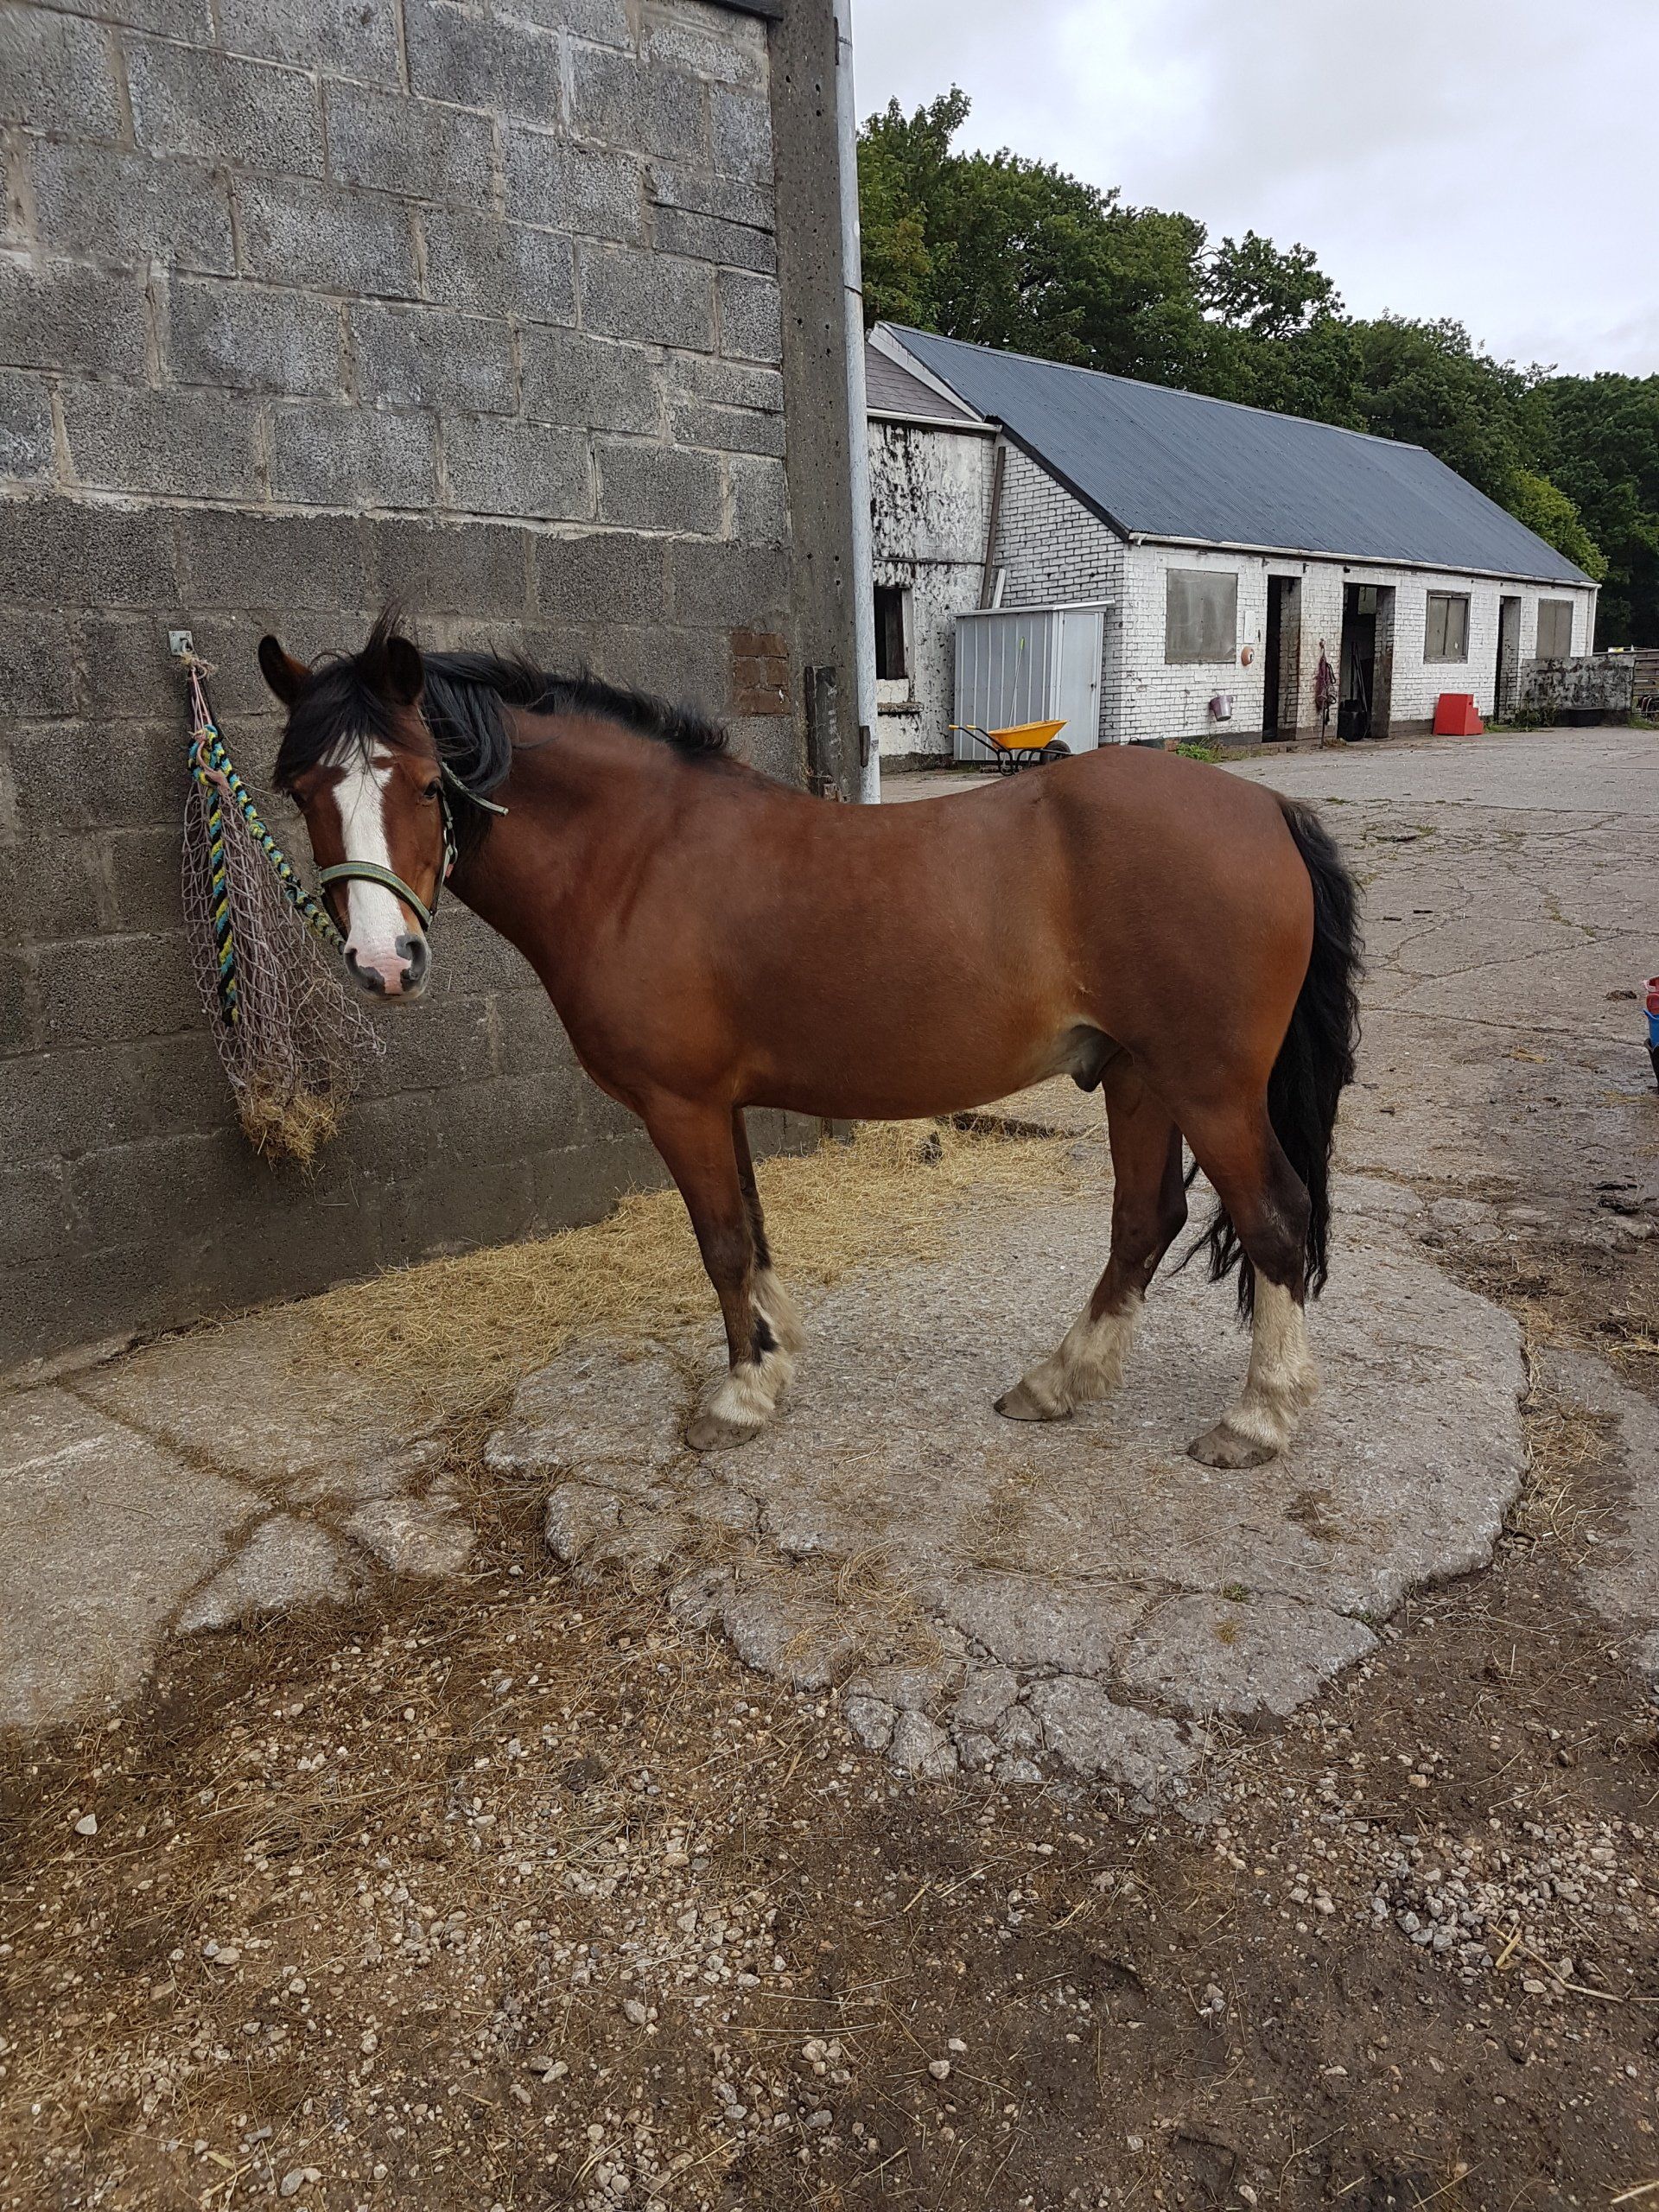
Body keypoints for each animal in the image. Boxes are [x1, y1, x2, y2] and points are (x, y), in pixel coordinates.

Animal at [259, 614, 1360, 1468]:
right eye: (304, 789)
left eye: (422, 782)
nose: (383, 960)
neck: (636, 857)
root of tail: (1267, 808)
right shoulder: (721, 1104)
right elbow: (751, 1230)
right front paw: (775, 1357)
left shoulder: (681, 1103)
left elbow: (721, 1240)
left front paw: (740, 1398)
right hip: (1135, 1073)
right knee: (1146, 1218)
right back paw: (1058, 1382)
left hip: (1208, 1085)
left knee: (1273, 1217)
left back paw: (1256, 1419)